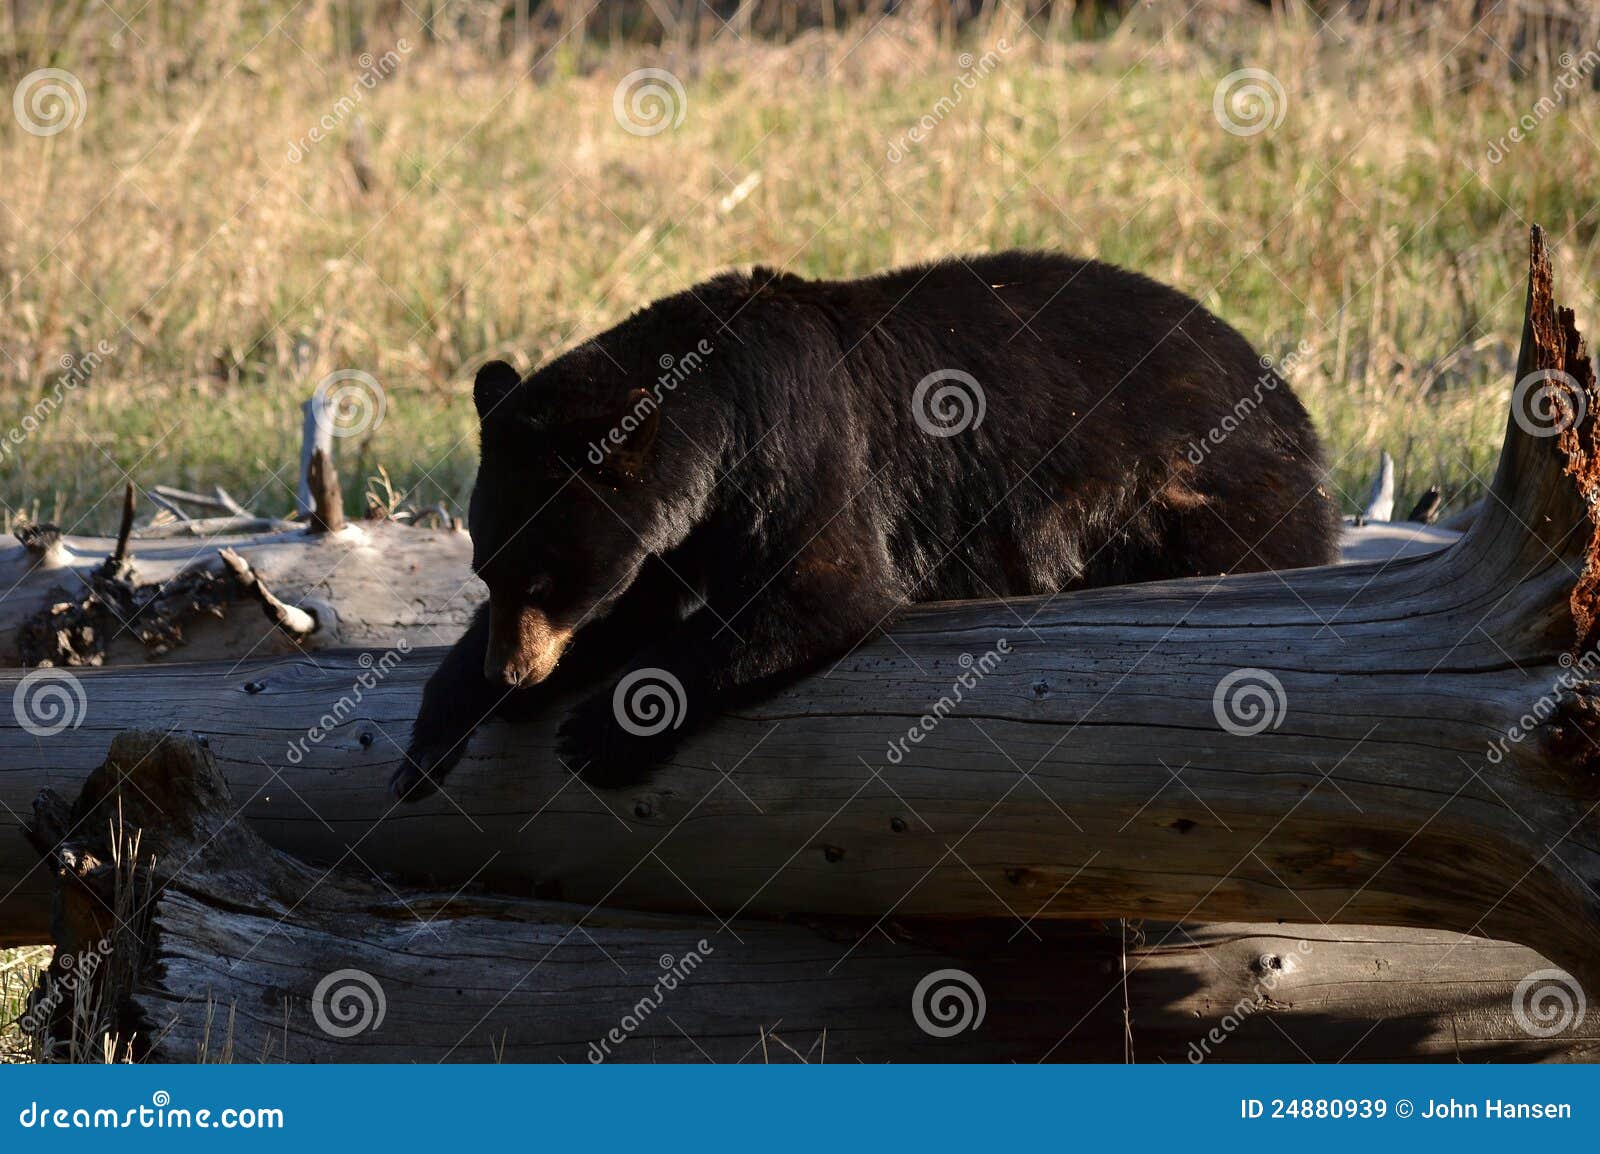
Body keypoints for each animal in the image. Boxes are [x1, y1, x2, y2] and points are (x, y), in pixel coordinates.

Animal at [391, 250, 1342, 800]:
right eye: (489, 569)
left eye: (548, 577)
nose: (513, 673)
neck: (717, 403)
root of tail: (1292, 403)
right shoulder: (677, 527)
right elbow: (642, 597)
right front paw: (435, 727)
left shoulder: (797, 442)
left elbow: (823, 591)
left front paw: (602, 729)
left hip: (1193, 480)